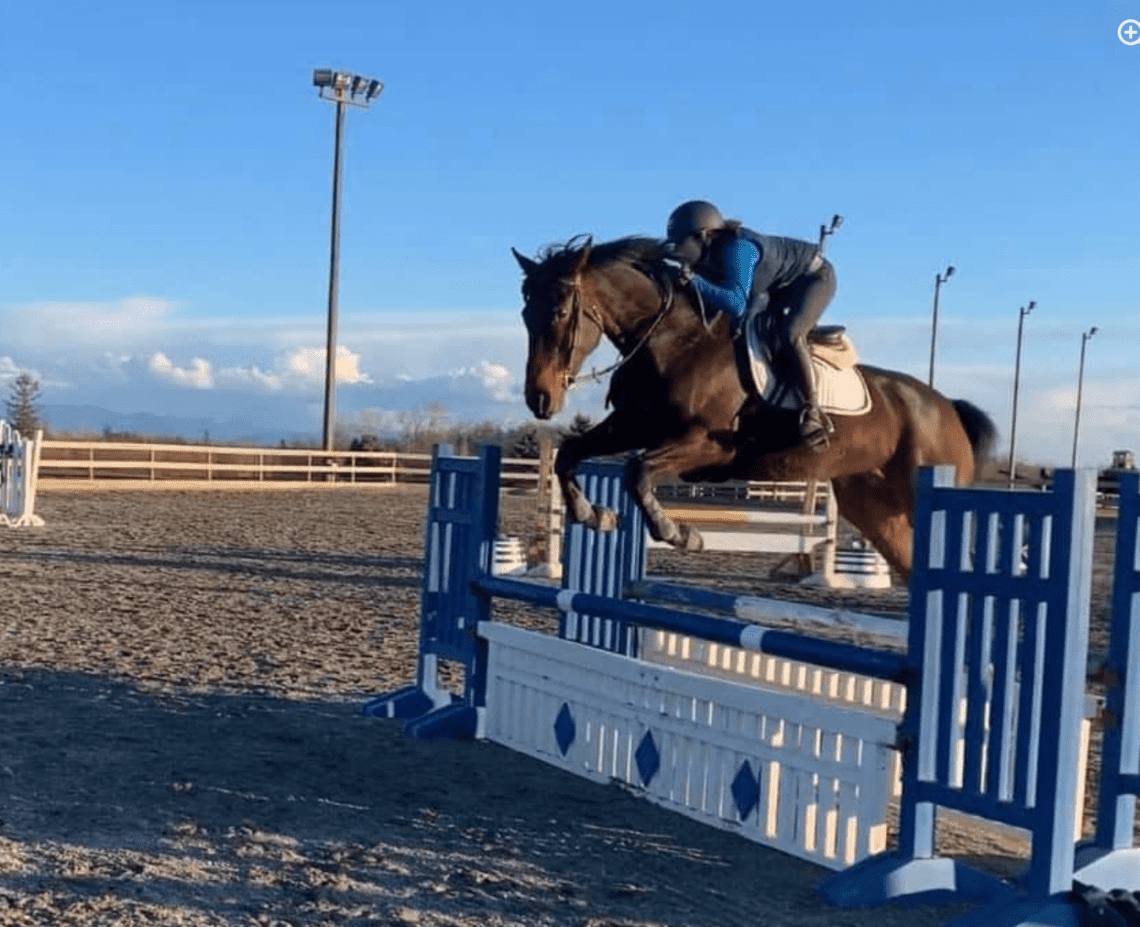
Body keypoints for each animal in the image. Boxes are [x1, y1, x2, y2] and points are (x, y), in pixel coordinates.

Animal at [511, 235, 998, 578]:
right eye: (524, 315)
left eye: (559, 313)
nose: (540, 399)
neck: (673, 342)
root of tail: (947, 408)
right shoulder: (632, 425)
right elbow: (571, 454)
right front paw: (593, 515)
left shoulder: (710, 445)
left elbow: (637, 471)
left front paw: (679, 534)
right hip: (874, 509)